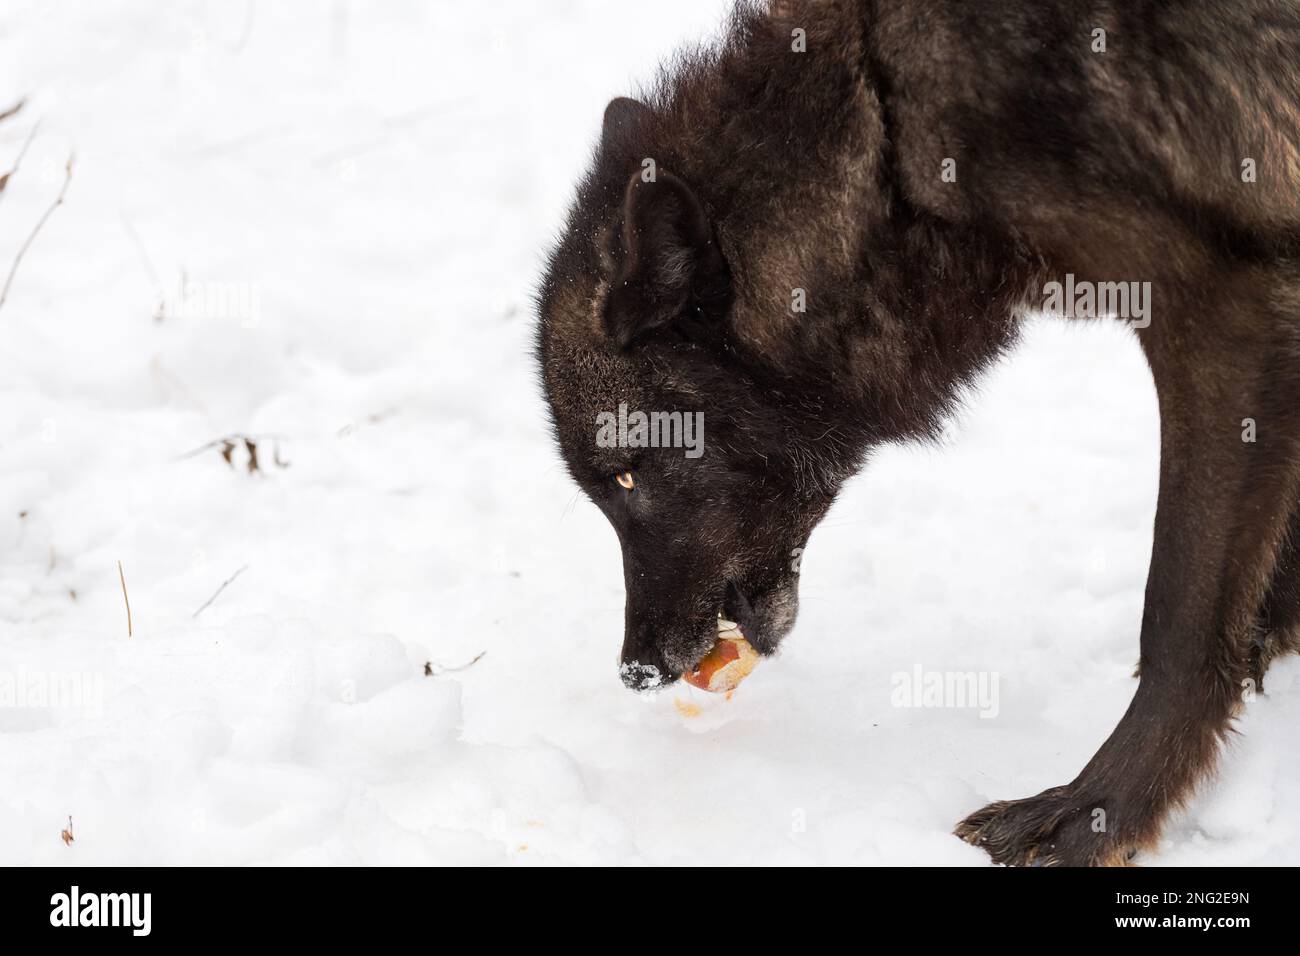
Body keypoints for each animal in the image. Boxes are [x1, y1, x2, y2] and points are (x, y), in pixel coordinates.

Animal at [535, 0, 1300, 865]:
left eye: (629, 475)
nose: (635, 669)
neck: (883, 122)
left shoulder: (1221, 311)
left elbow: (1178, 616)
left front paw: (1095, 813)